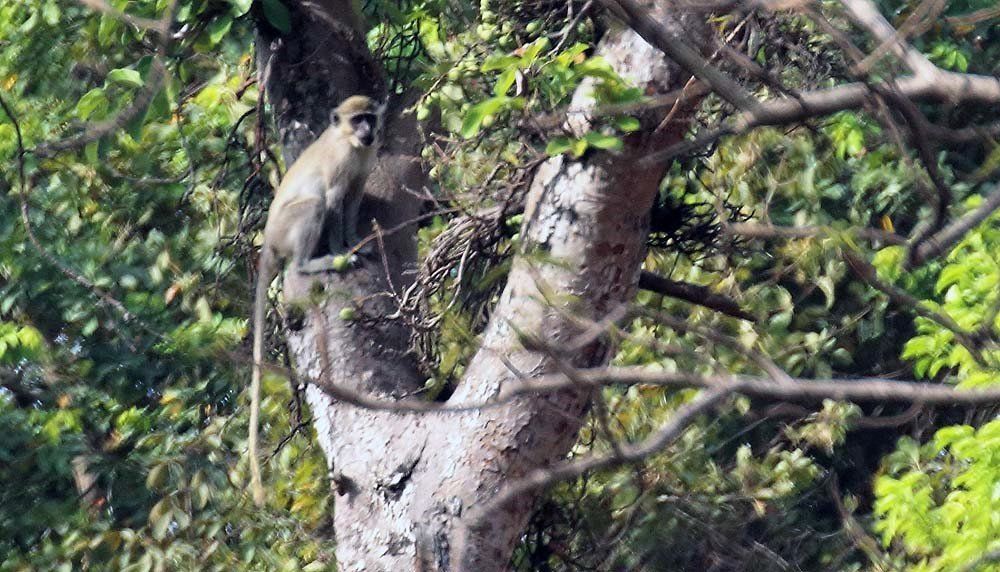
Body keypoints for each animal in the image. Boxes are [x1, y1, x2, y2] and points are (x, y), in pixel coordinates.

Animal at [249, 95, 384, 506]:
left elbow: (353, 202)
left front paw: (356, 242)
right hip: (289, 228)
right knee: (315, 205)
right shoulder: (341, 163)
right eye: (356, 120)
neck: (349, 143)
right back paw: (311, 262)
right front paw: (342, 251)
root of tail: (268, 243)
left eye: (369, 118)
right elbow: (336, 202)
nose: (368, 131)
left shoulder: (362, 165)